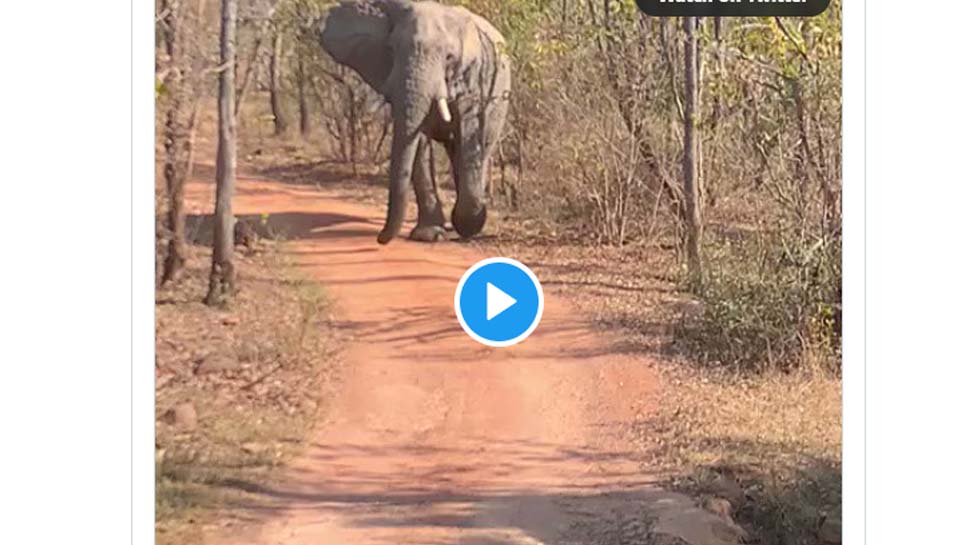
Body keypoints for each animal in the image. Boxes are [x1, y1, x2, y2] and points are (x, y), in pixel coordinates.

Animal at [316, 0, 510, 244]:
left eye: (449, 57)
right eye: (391, 50)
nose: (380, 238)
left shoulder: (475, 80)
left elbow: (470, 132)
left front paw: (466, 226)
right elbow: (419, 143)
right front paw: (428, 235)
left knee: (478, 148)